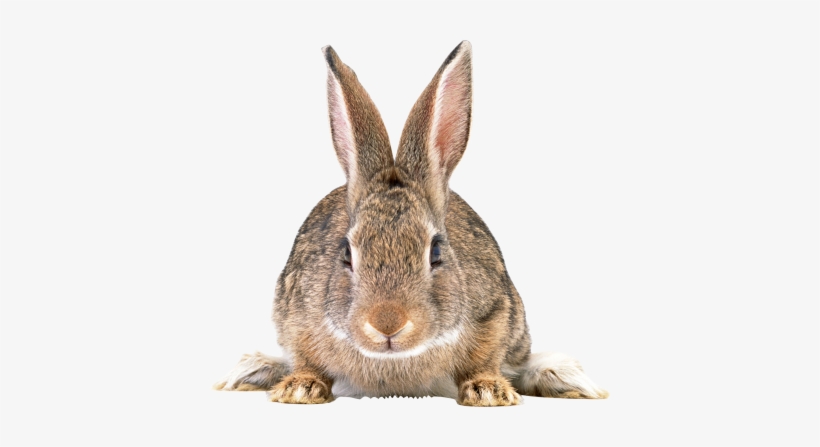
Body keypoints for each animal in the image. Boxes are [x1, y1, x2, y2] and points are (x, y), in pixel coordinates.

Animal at [213, 41, 608, 406]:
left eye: (435, 252)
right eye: (346, 254)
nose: (388, 323)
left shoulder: (497, 313)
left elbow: (485, 360)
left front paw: (489, 392)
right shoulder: (297, 317)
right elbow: (306, 358)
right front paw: (299, 389)